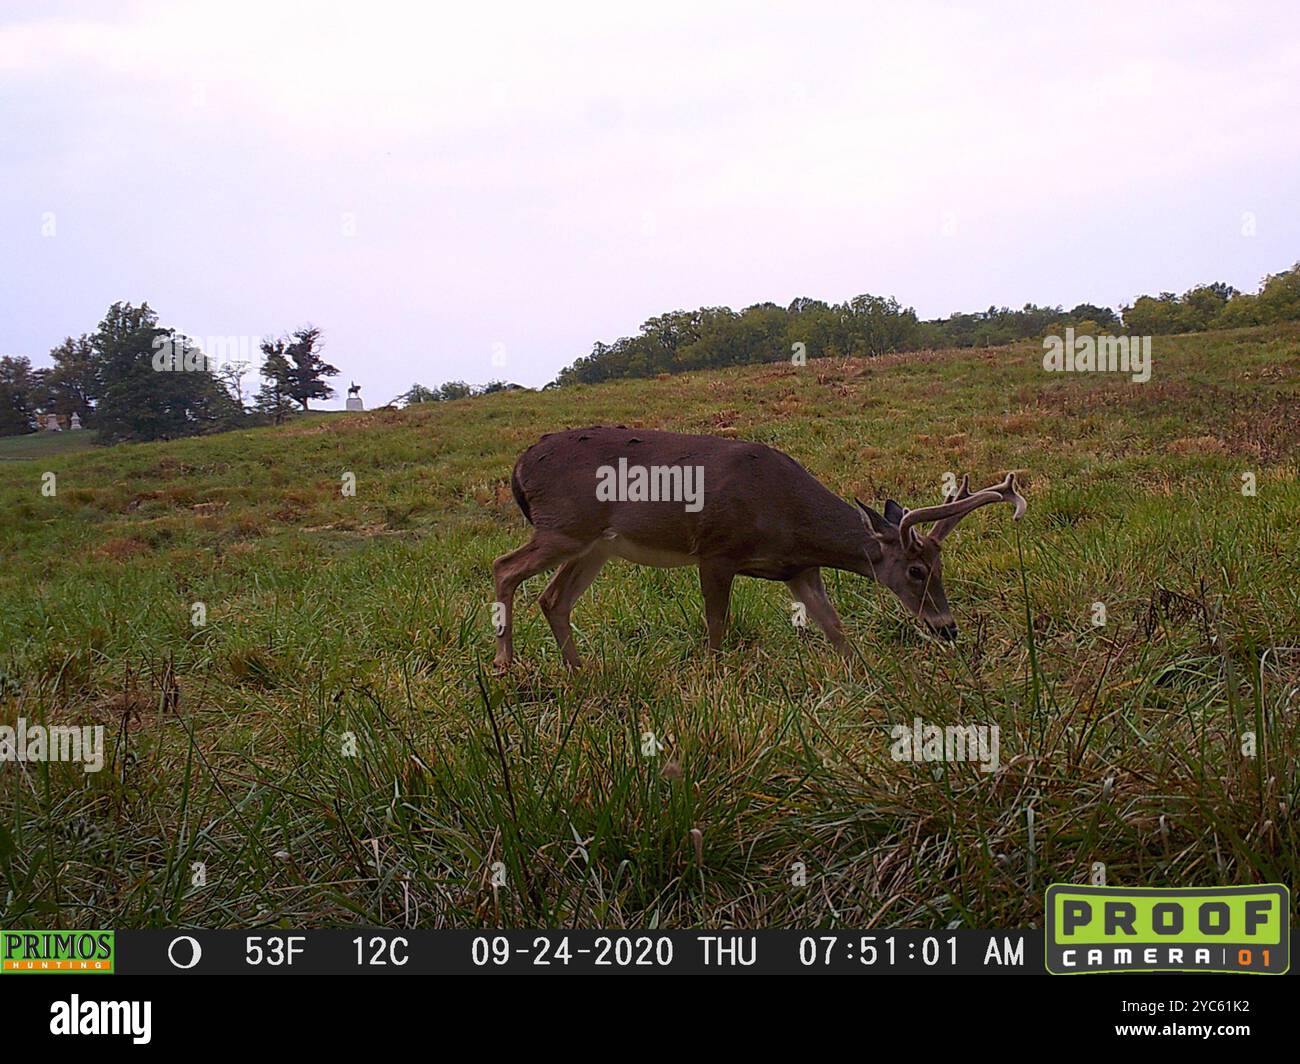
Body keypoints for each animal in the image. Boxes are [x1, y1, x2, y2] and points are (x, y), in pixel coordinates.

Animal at [492, 426, 1026, 670]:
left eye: (941, 564)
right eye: (916, 571)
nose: (948, 628)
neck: (787, 516)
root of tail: (519, 464)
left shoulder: (799, 568)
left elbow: (836, 629)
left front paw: (864, 675)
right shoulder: (716, 549)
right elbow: (716, 624)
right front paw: (713, 677)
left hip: (595, 545)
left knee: (553, 598)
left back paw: (579, 670)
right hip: (564, 527)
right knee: (504, 567)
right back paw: (505, 663)